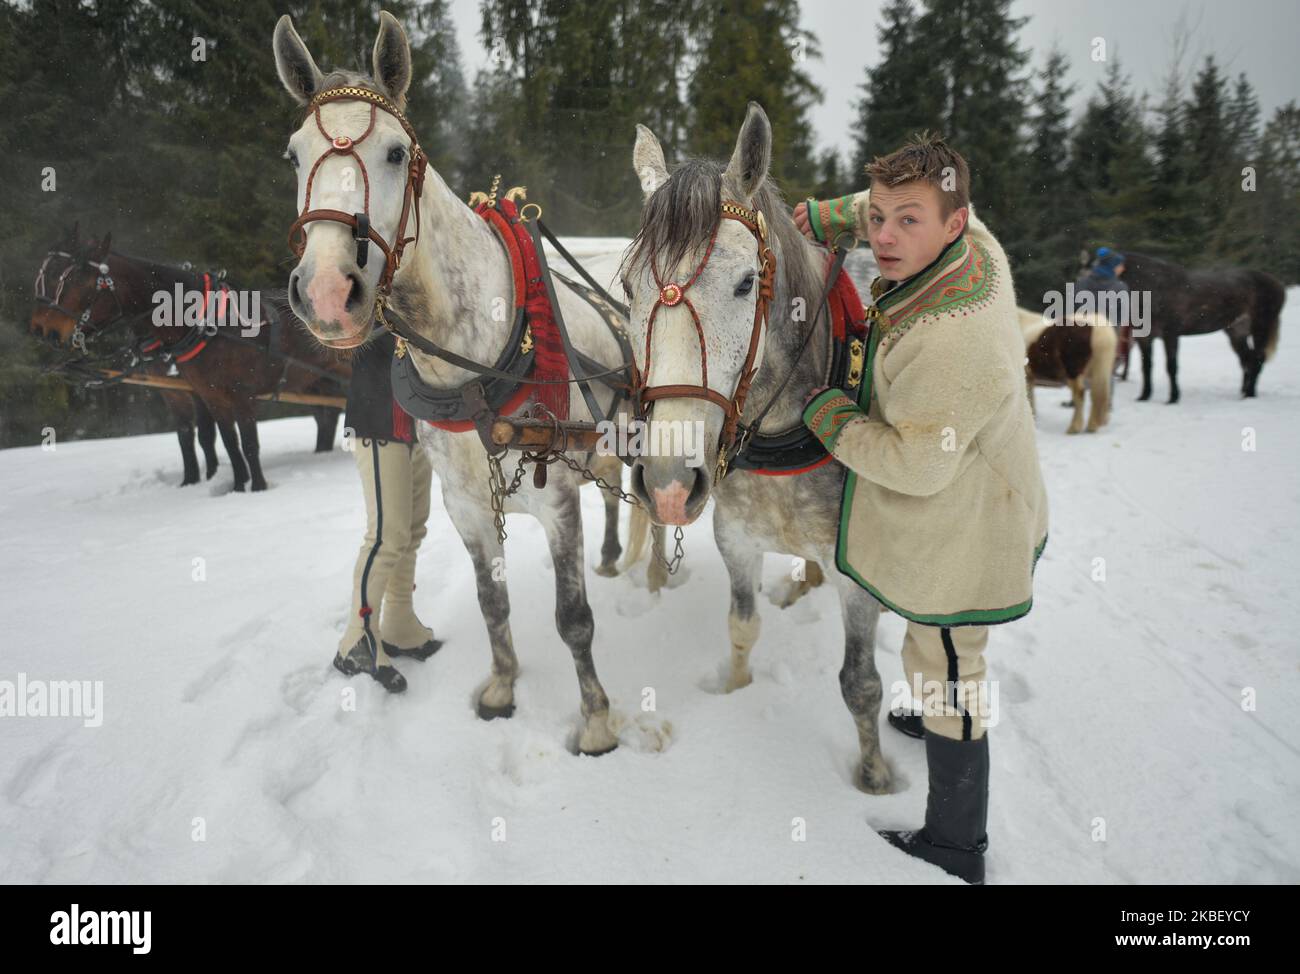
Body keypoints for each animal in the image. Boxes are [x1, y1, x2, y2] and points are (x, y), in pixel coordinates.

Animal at [30, 231, 350, 491]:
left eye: (75, 281)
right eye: (46, 277)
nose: (44, 330)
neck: (208, 324)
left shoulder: (239, 396)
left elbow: (242, 443)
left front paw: (256, 488)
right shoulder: (203, 395)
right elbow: (216, 441)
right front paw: (226, 486)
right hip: (316, 381)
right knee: (327, 416)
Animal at [273, 11, 637, 754]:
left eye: (393, 153)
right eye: (294, 156)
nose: (326, 291)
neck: (473, 371)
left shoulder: (557, 500)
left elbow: (574, 619)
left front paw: (594, 721)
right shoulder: (466, 505)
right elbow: (492, 601)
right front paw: (500, 689)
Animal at [617, 103, 891, 793]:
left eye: (746, 283)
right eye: (629, 287)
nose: (666, 484)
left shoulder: (859, 578)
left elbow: (862, 685)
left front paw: (874, 777)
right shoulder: (737, 540)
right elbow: (742, 626)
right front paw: (735, 694)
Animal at [1119, 251, 1284, 403]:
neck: (1155, 286)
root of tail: (1276, 283)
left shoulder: (1170, 334)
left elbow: (1171, 366)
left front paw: (1173, 398)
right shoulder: (1144, 338)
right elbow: (1146, 366)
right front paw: (1144, 396)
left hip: (1260, 328)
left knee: (1257, 359)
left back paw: (1250, 394)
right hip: (1237, 332)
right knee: (1247, 359)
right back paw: (1243, 392)